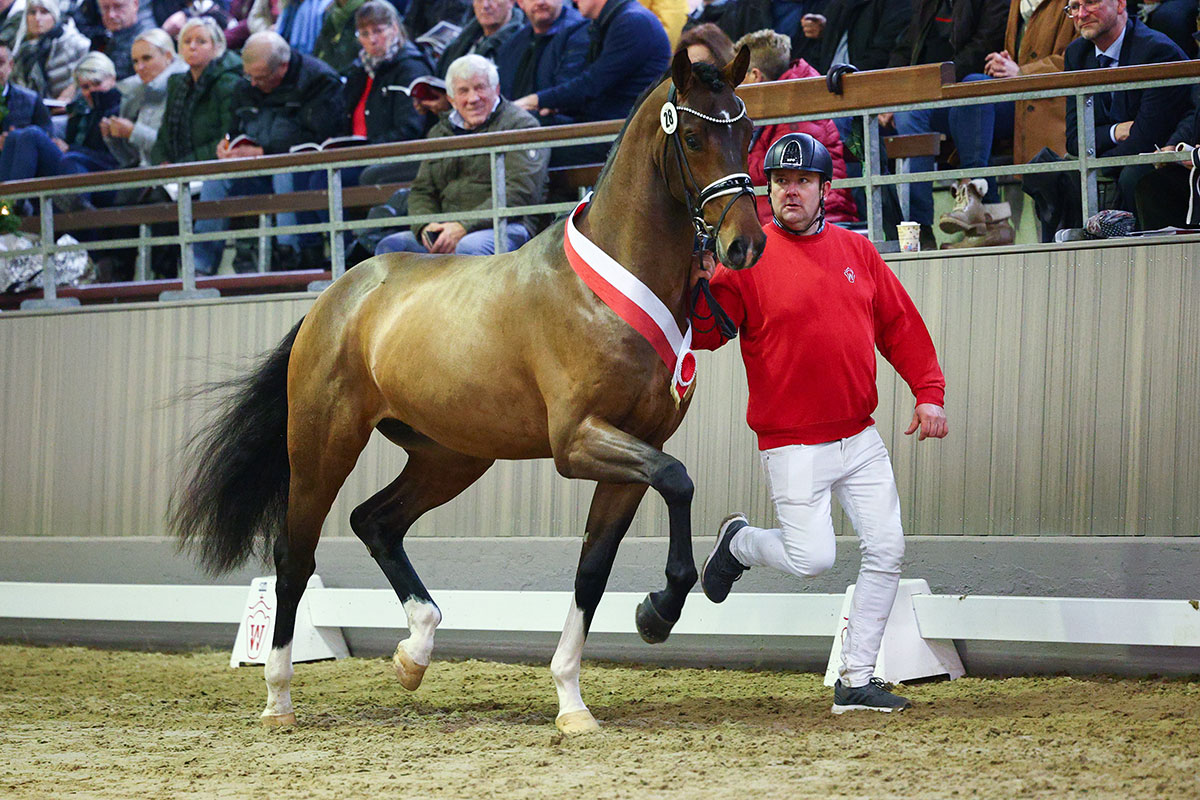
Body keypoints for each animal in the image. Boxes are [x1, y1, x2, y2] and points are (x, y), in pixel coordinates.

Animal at [171, 48, 766, 734]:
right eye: (693, 136)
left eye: (749, 131)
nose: (746, 244)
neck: (606, 292)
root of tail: (337, 296)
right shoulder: (578, 442)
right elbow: (678, 478)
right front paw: (659, 609)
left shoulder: (631, 449)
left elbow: (596, 566)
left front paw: (576, 696)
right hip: (324, 446)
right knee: (295, 555)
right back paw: (278, 698)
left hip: (451, 455)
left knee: (375, 521)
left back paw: (414, 653)